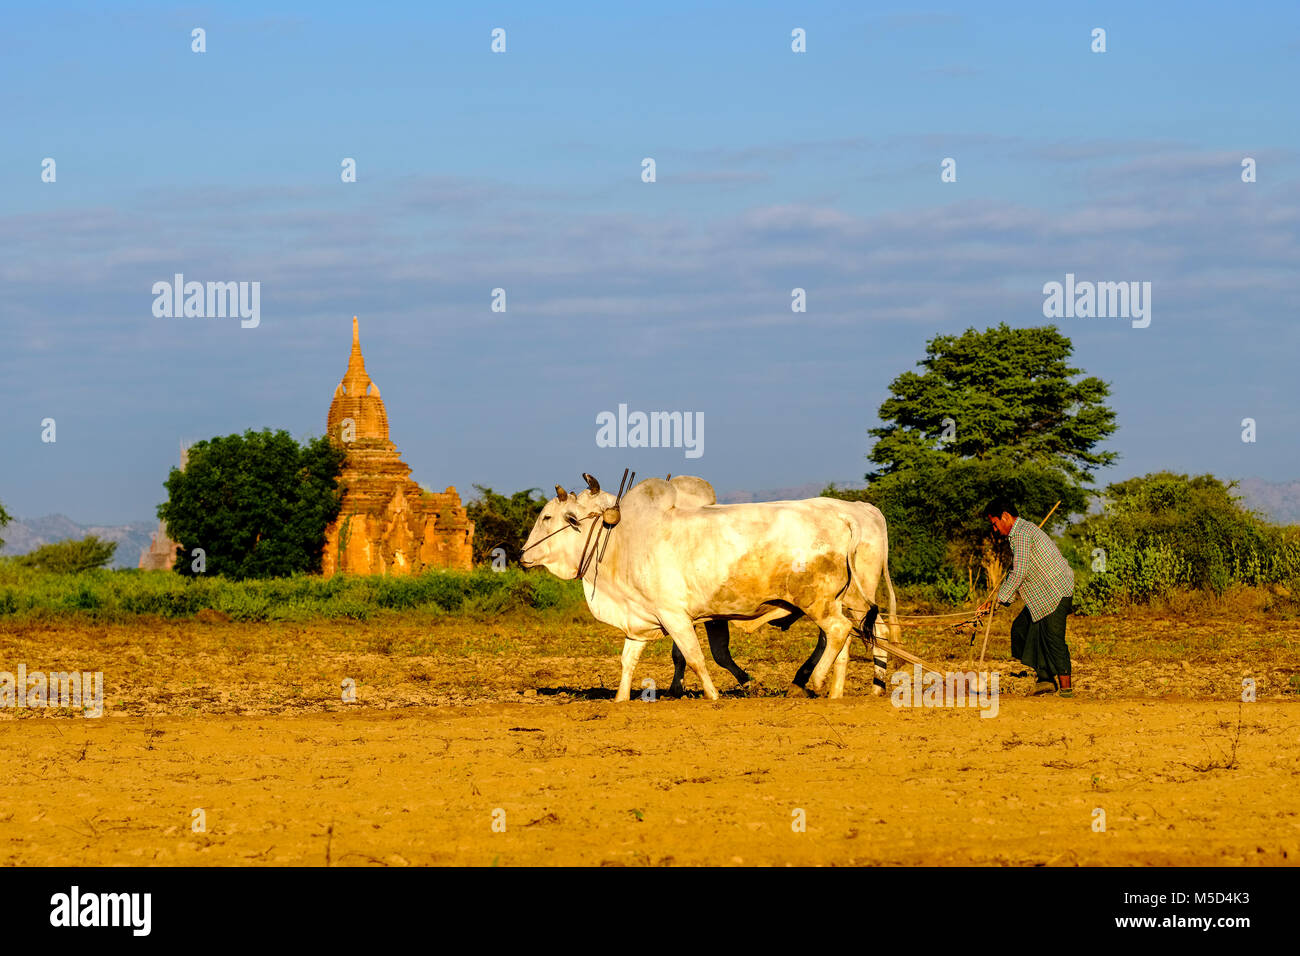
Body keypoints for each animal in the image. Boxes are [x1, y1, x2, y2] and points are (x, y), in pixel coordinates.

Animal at [519, 473, 897, 701]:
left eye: (548, 517)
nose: (522, 555)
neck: (620, 537)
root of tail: (847, 514)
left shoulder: (674, 615)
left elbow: (695, 656)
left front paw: (712, 695)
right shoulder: (642, 616)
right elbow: (628, 661)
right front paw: (621, 698)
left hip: (819, 599)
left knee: (839, 631)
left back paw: (818, 682)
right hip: (845, 598)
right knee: (856, 634)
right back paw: (840, 690)